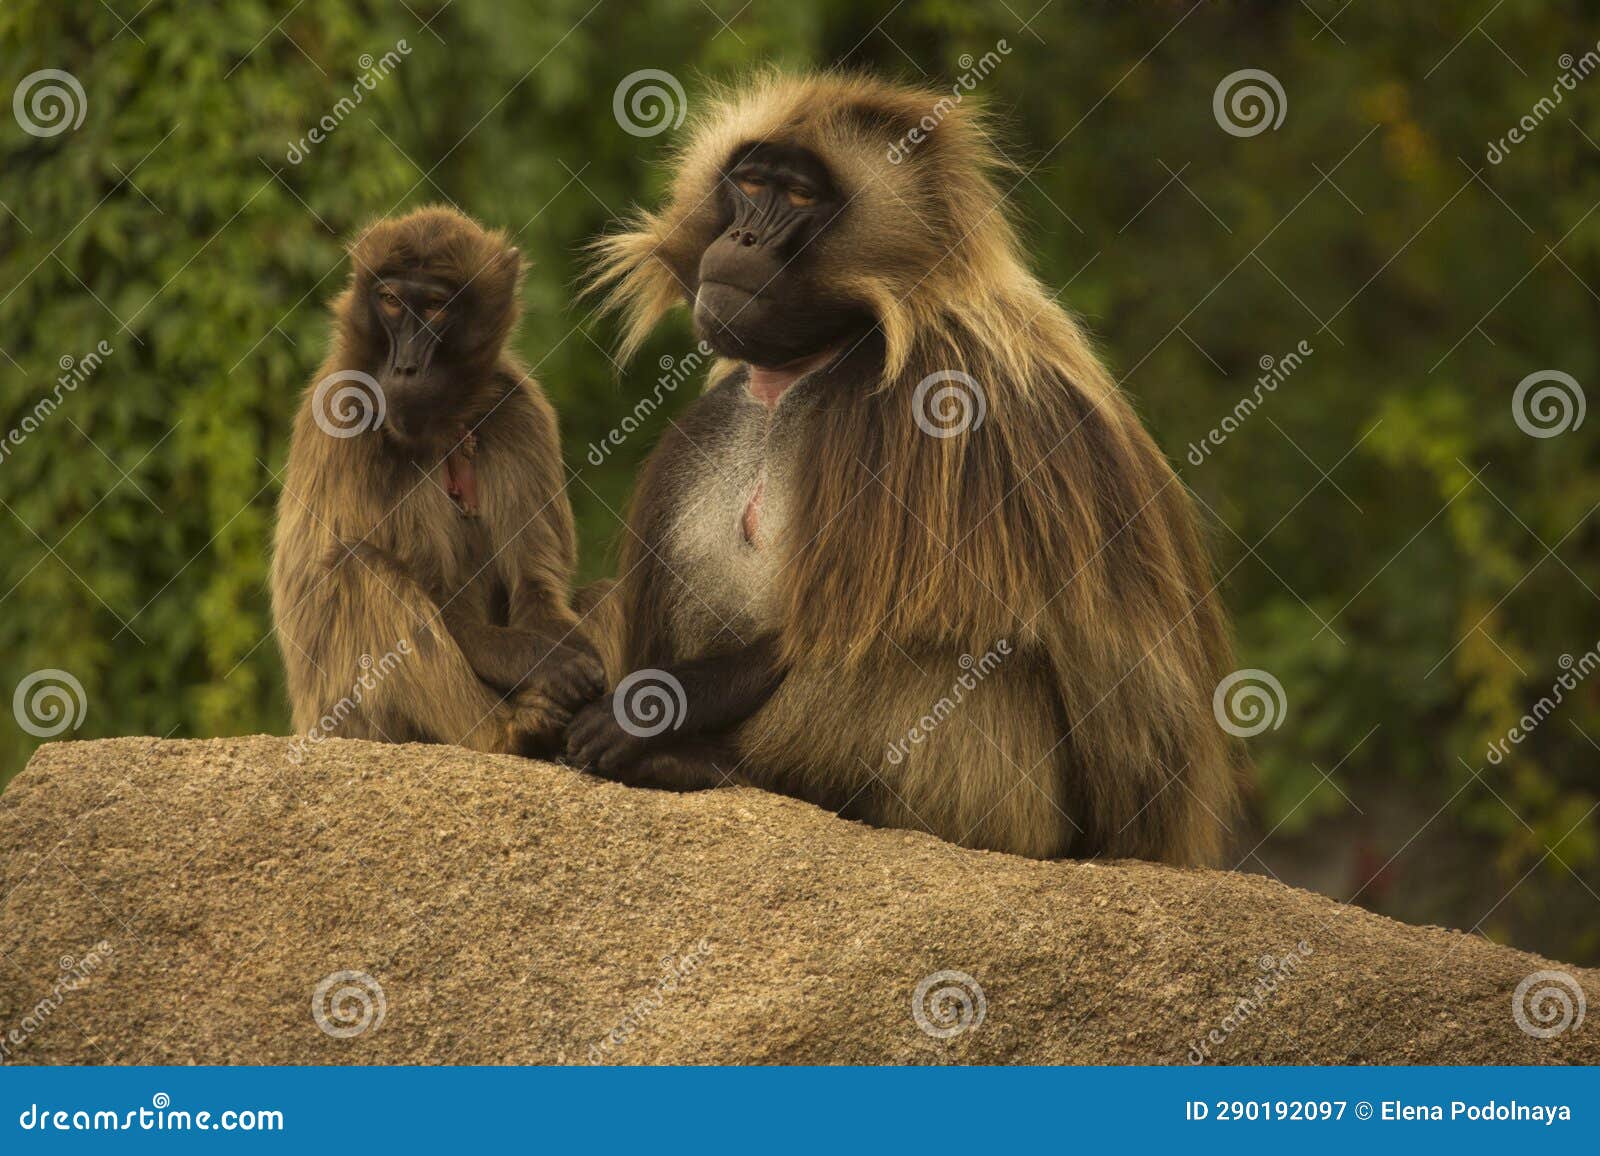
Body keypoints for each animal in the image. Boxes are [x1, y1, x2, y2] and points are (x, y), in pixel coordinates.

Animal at [271, 205, 604, 757]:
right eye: (390, 301)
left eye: (433, 307)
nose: (406, 367)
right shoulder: (347, 410)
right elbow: (433, 593)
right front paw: (546, 660)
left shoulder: (518, 409)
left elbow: (538, 591)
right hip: (353, 722)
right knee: (362, 570)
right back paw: (509, 734)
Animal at [571, 73, 1247, 865]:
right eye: (749, 183)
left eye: (799, 196)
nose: (740, 238)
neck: (817, 361)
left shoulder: (958, 394)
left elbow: (899, 618)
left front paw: (649, 712)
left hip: (1029, 827)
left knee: (941, 652)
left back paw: (706, 765)